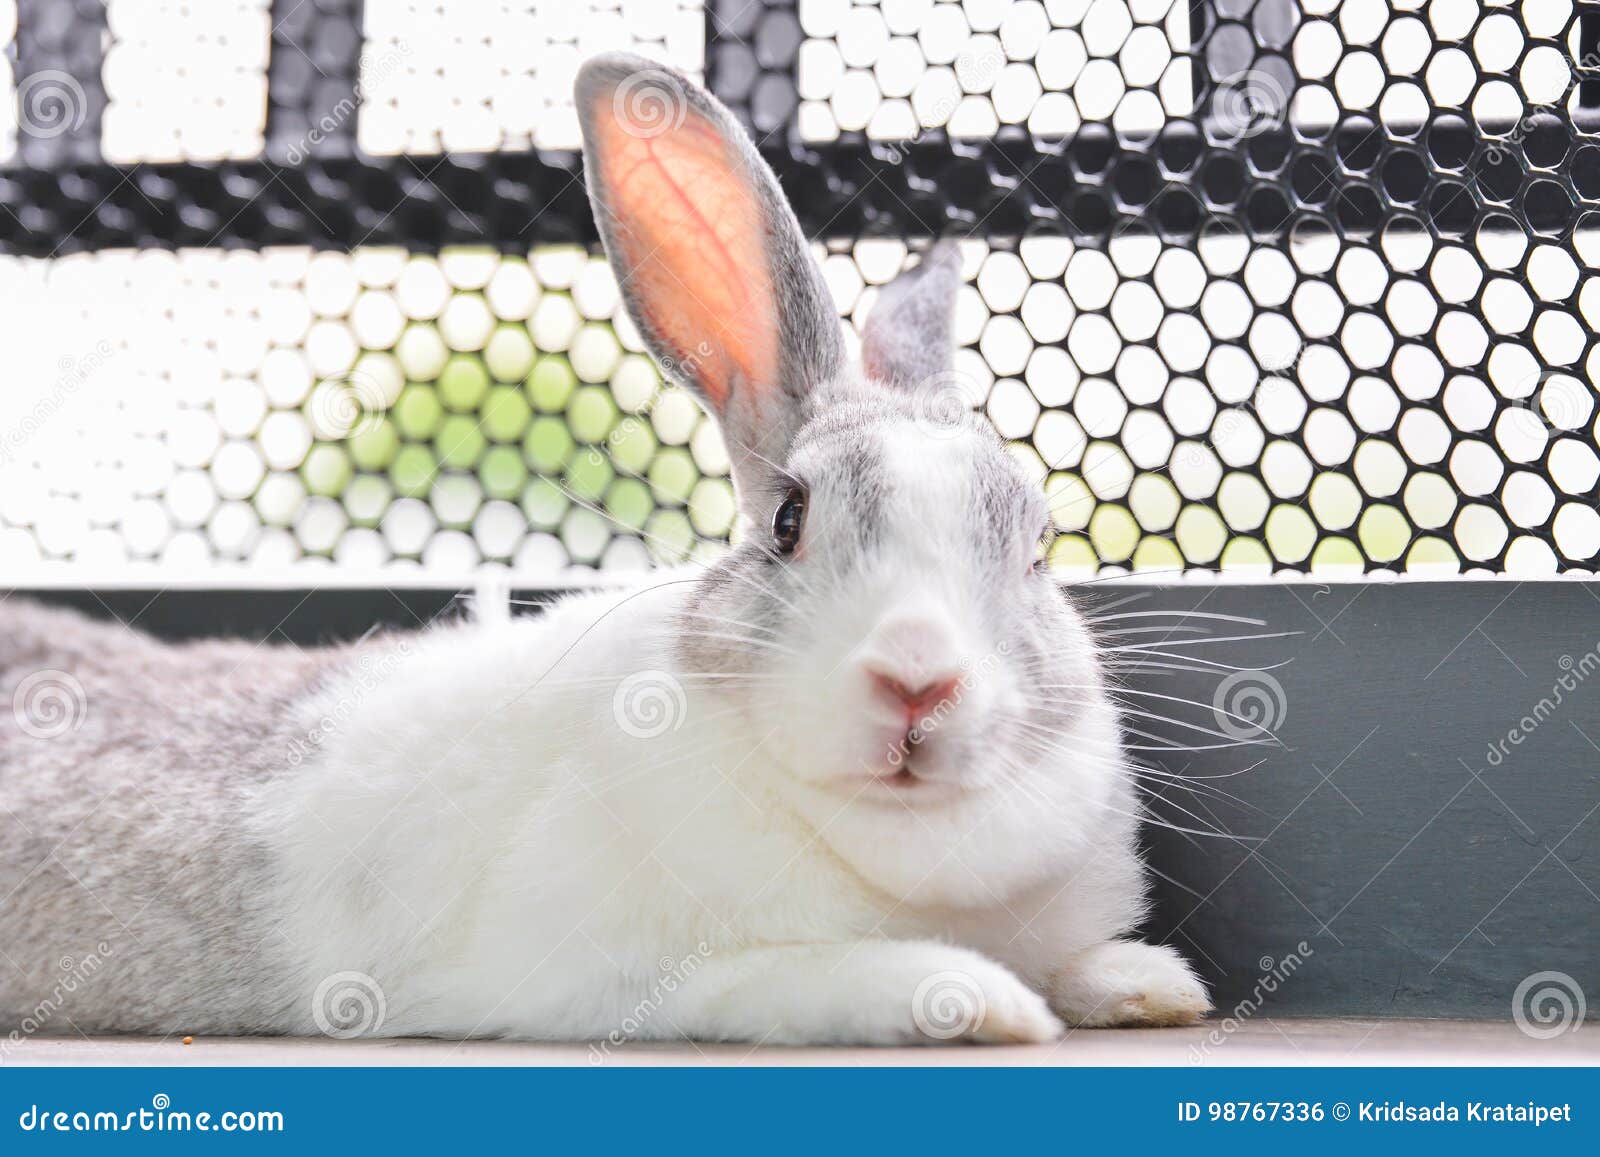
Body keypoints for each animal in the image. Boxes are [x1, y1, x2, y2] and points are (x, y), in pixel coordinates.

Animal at [0, 53, 1210, 1048]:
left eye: (1038, 543)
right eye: (789, 520)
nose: (917, 679)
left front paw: (1149, 982)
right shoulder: (640, 981)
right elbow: (818, 977)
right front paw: (986, 1001)